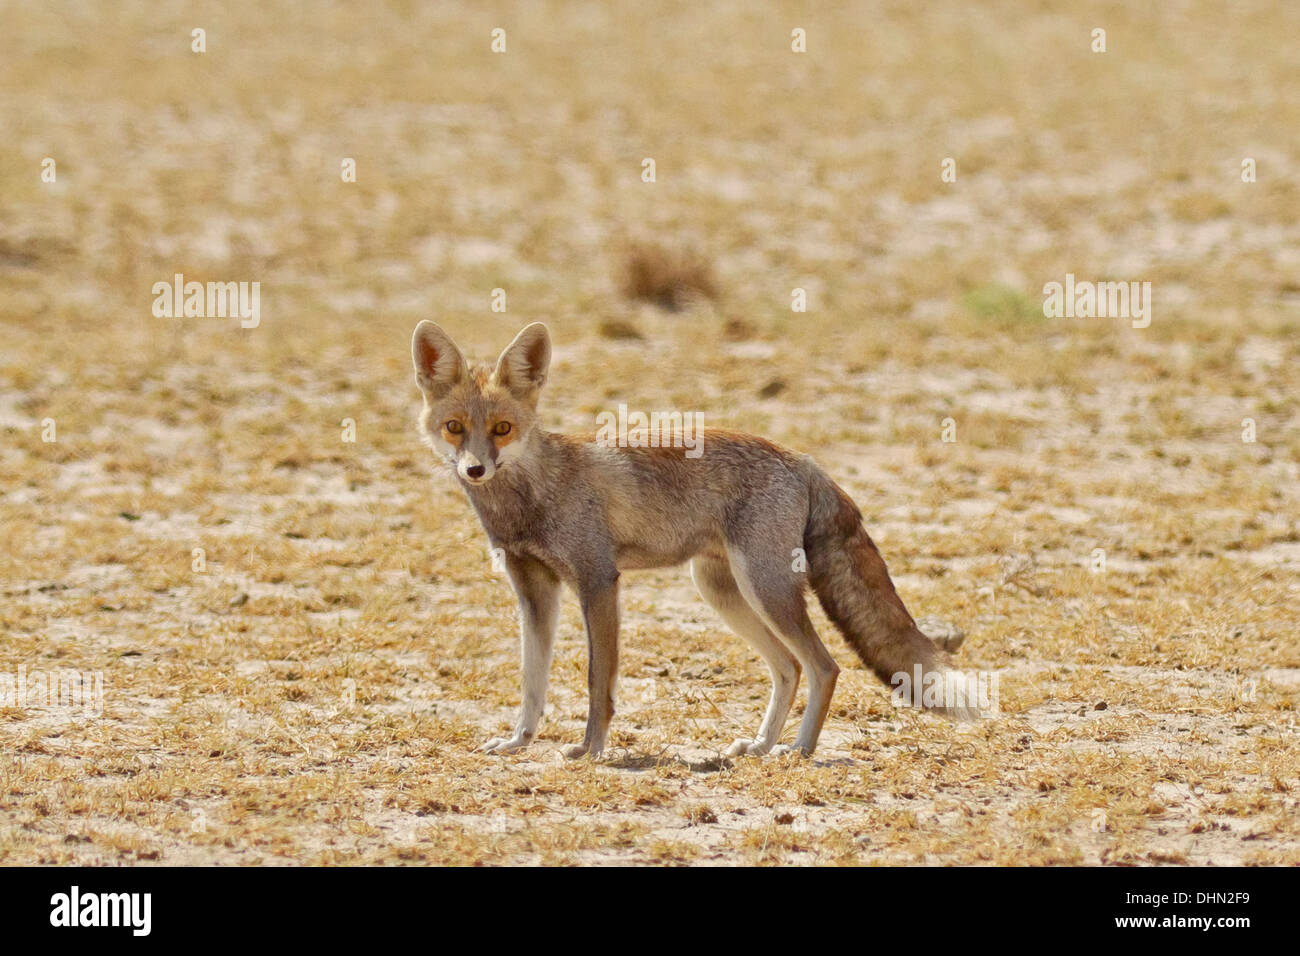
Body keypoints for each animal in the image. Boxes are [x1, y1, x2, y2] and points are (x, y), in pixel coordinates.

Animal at [411, 320, 980, 759]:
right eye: (455, 427)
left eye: (503, 428)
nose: (475, 469)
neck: (532, 498)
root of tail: (803, 459)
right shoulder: (534, 591)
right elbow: (532, 682)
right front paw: (518, 742)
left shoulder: (598, 581)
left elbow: (598, 684)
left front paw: (591, 750)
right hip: (723, 593)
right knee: (790, 667)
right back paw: (761, 745)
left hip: (765, 588)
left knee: (824, 665)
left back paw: (799, 749)